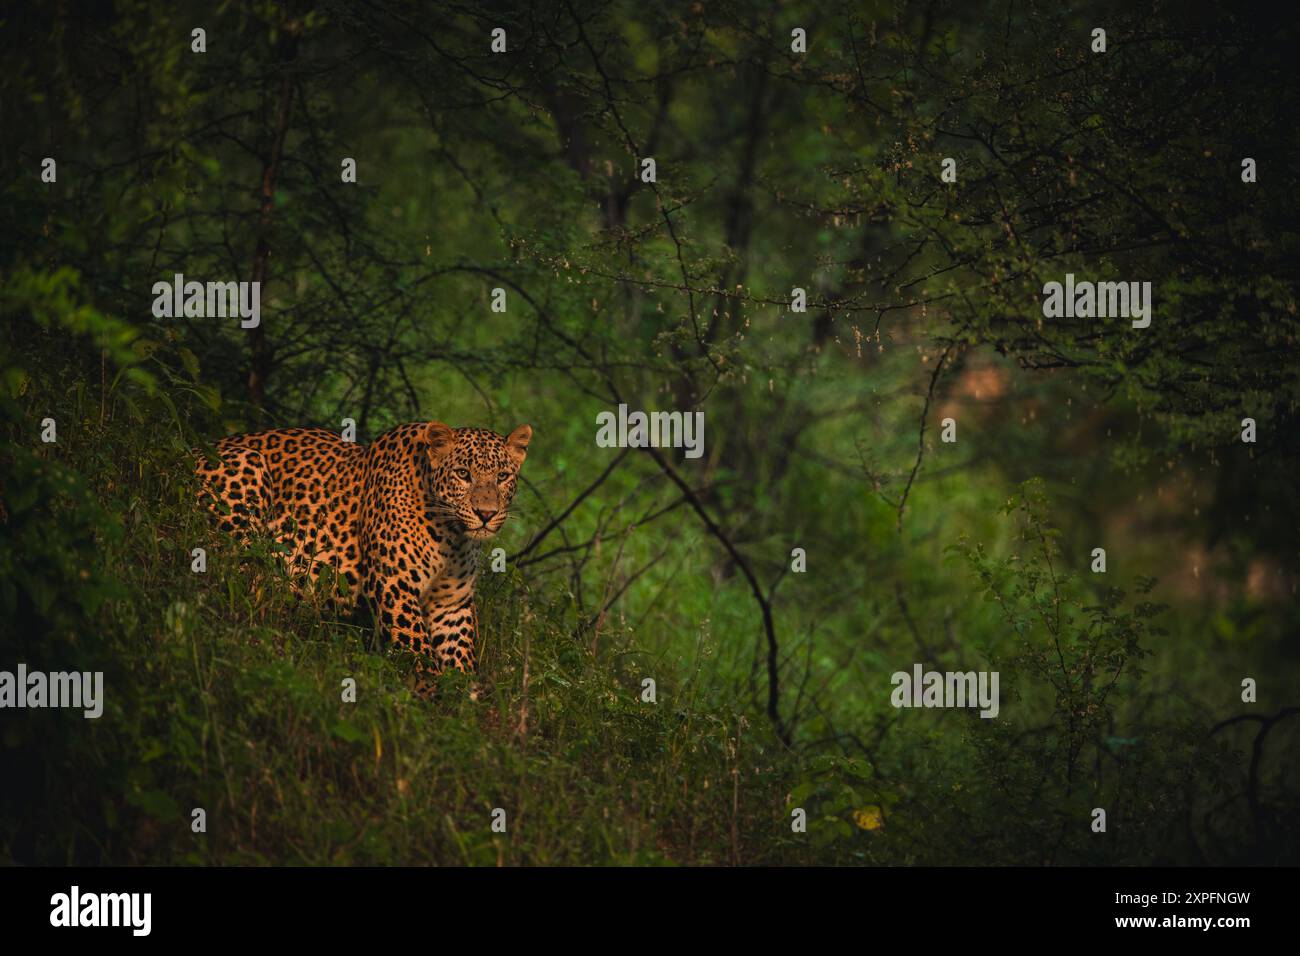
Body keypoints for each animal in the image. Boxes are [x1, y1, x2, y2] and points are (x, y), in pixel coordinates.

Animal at [194, 420, 532, 696]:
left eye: (503, 476)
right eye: (463, 474)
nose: (486, 514)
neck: (452, 536)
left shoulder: (451, 603)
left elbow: (460, 655)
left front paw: (463, 705)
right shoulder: (395, 584)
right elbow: (418, 649)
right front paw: (432, 694)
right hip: (245, 468)